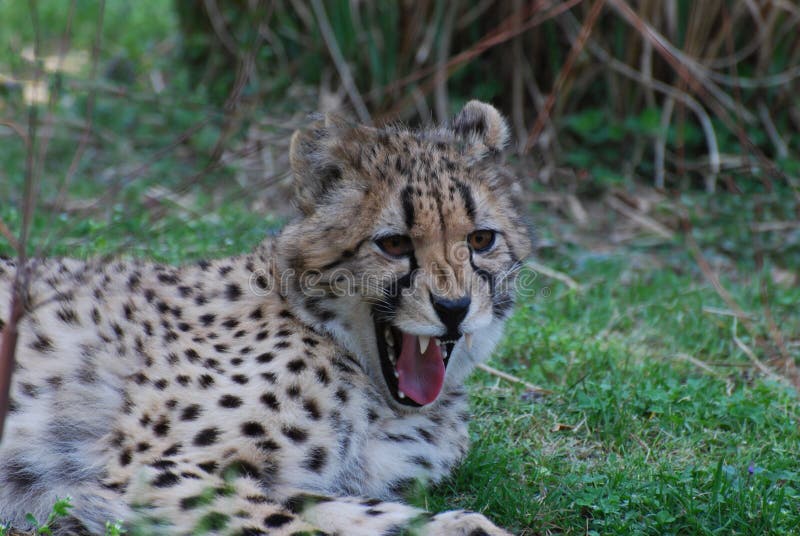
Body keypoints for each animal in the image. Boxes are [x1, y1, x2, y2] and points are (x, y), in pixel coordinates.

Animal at [0, 101, 533, 535]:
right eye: (395, 244)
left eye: (481, 239)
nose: (454, 309)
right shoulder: (157, 470)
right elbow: (293, 526)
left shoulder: (283, 479)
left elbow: (351, 509)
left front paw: (466, 526)